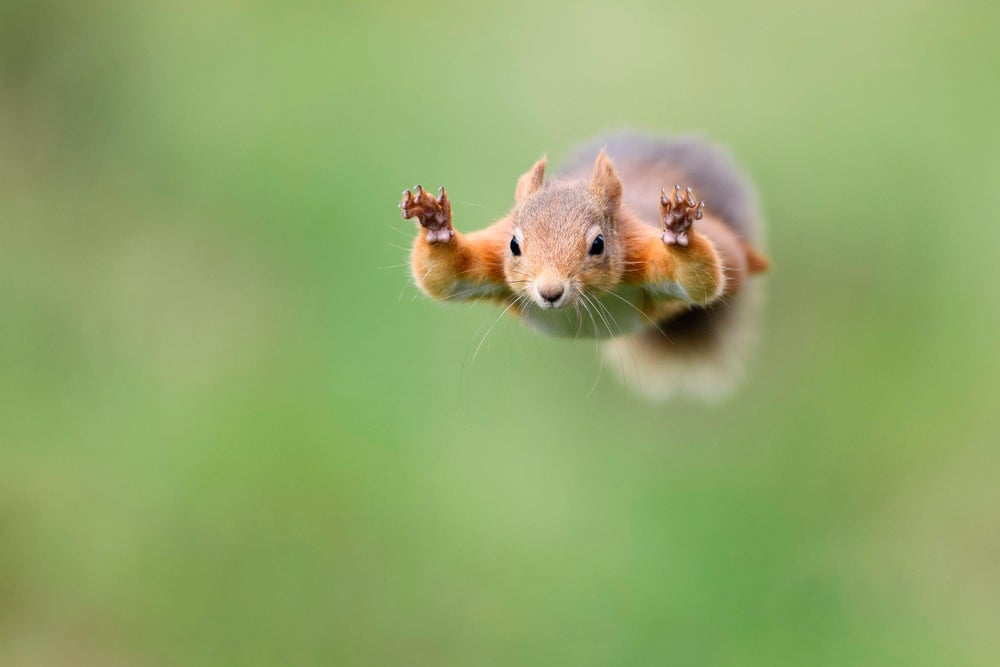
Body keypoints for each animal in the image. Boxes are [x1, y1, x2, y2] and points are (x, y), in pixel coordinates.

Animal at [400, 131, 769, 400]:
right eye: (514, 245)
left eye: (598, 244)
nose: (550, 292)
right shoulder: (490, 257)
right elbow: (444, 278)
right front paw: (434, 224)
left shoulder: (644, 255)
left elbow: (700, 280)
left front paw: (679, 232)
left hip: (726, 247)